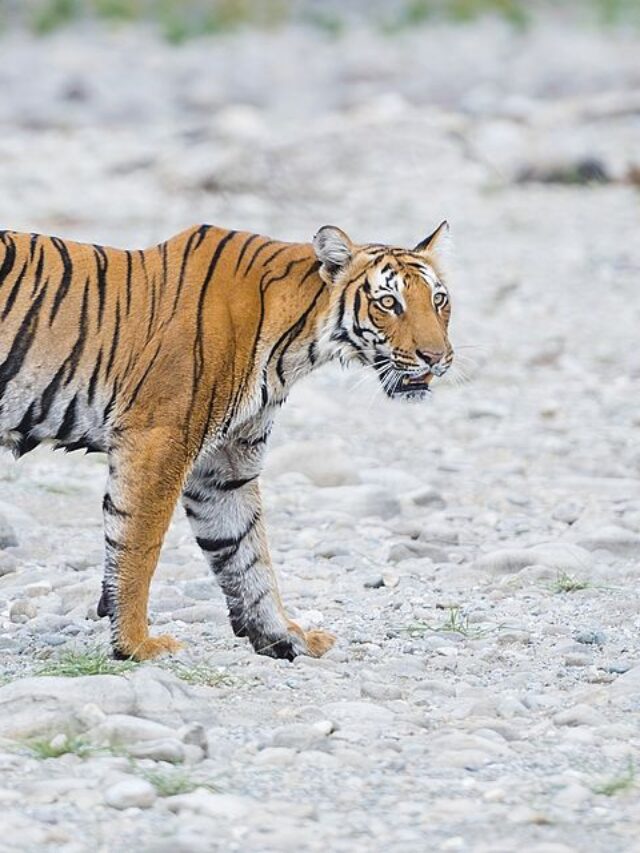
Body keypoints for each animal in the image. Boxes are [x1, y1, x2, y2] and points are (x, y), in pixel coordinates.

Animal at [0, 221, 454, 661]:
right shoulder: (158, 440)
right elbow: (139, 547)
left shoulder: (225, 465)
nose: (436, 358)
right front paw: (137, 645)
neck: (297, 345)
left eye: (439, 300)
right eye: (388, 303)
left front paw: (284, 637)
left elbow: (246, 553)